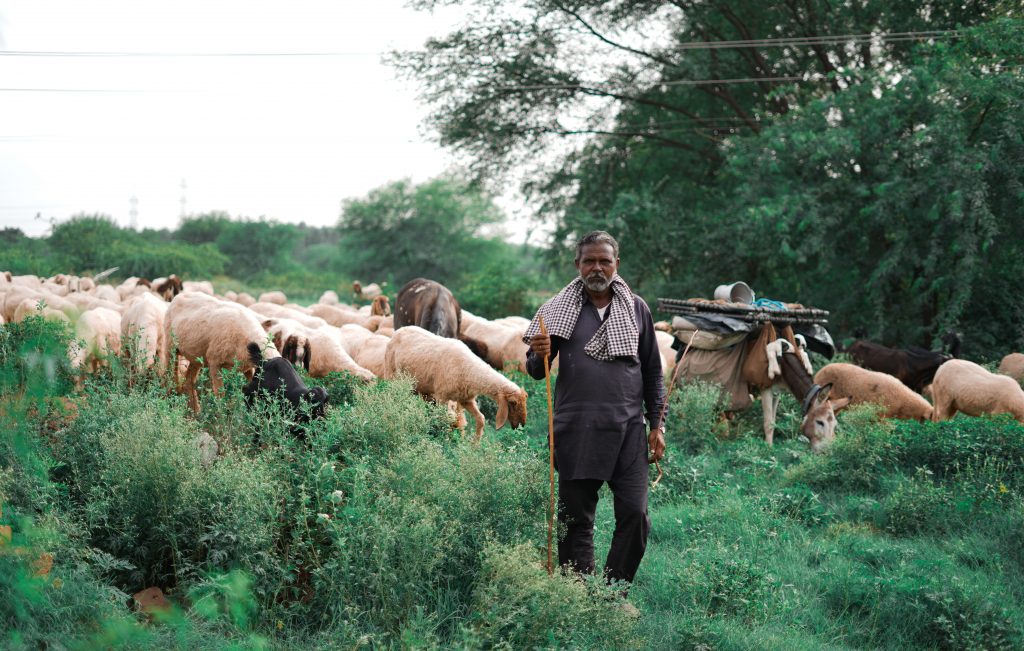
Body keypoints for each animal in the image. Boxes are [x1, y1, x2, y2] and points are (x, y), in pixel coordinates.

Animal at [384, 325, 528, 441]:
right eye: (513, 403)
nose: (521, 425)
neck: (469, 369)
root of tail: (399, 330)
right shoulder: (442, 397)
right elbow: (447, 419)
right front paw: (447, 442)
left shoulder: (466, 399)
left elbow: (480, 419)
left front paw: (474, 444)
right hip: (393, 376)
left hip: (421, 390)